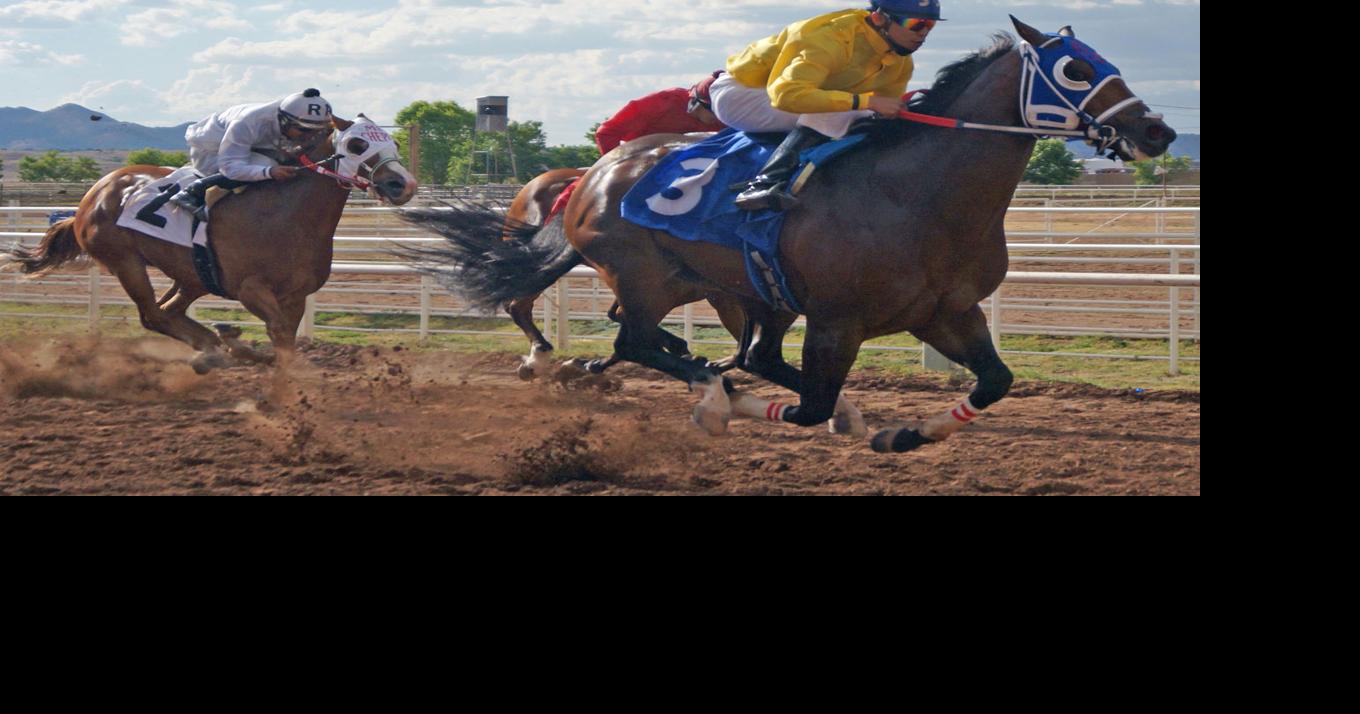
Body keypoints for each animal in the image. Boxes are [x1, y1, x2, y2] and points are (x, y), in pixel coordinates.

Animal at [3, 115, 418, 373]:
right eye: (357, 142)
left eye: (394, 141)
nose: (403, 184)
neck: (286, 214)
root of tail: (93, 195)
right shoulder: (250, 288)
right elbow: (279, 336)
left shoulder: (295, 295)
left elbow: (286, 340)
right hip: (125, 261)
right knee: (152, 314)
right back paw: (215, 347)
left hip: (193, 274)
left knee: (168, 311)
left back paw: (213, 347)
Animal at [405, 17, 1176, 453]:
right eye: (1076, 68)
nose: (1157, 131)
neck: (919, 196)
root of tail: (594, 173)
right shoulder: (837, 319)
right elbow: (806, 408)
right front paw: (730, 404)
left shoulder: (946, 311)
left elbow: (995, 381)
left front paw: (904, 432)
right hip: (650, 276)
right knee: (638, 341)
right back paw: (683, 387)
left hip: (743, 290)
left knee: (725, 349)